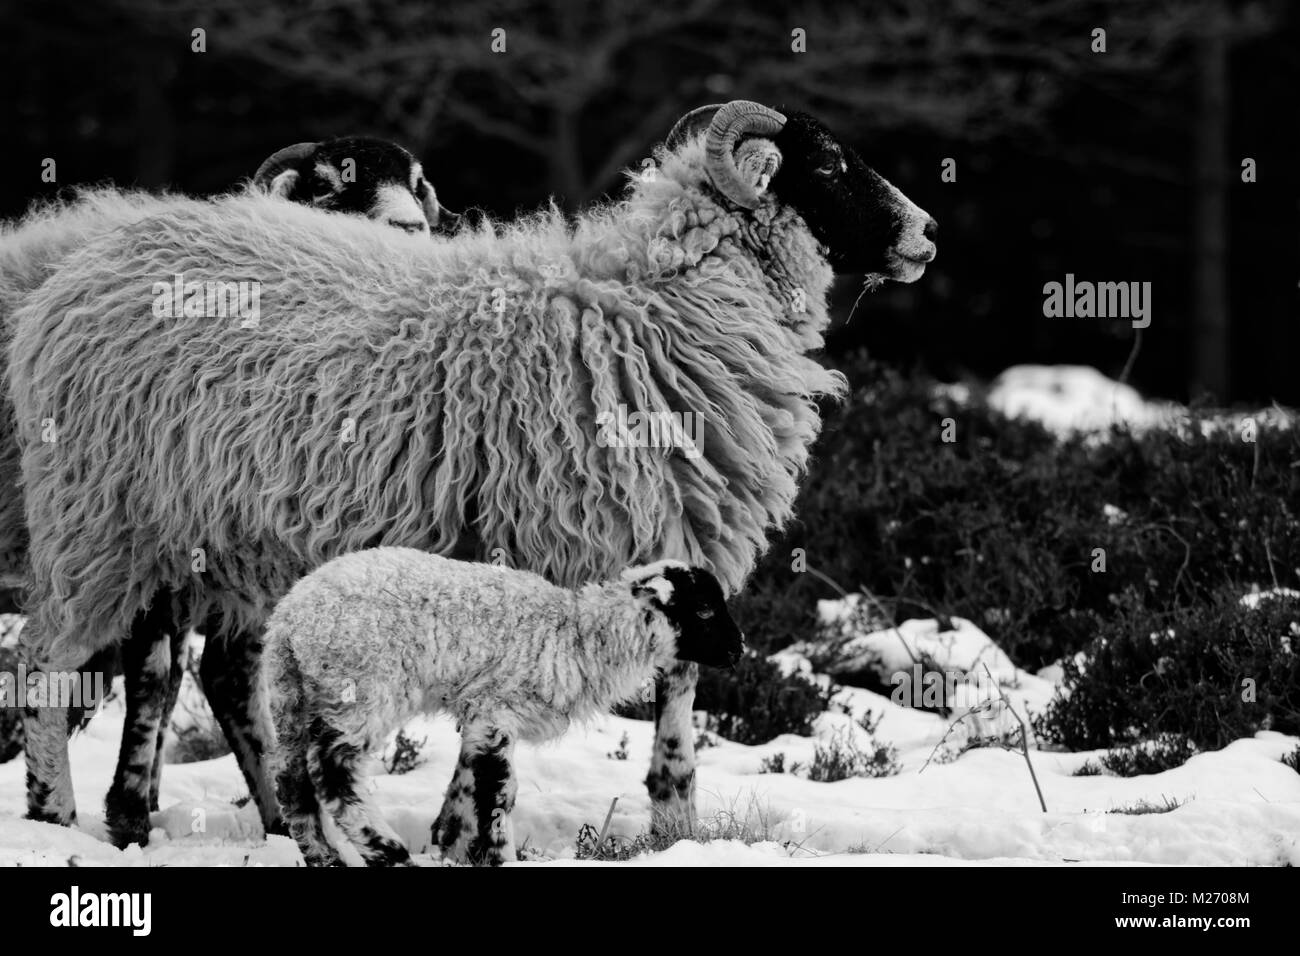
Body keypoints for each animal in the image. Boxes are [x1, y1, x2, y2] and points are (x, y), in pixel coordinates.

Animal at [264, 549, 743, 866]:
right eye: (703, 608)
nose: (739, 649)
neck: (580, 636)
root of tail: (289, 618)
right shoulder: (495, 709)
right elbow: (499, 795)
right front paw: (500, 855)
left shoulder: (480, 720)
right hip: (364, 687)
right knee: (332, 769)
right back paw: (388, 852)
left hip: (293, 695)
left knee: (291, 783)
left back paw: (326, 858)